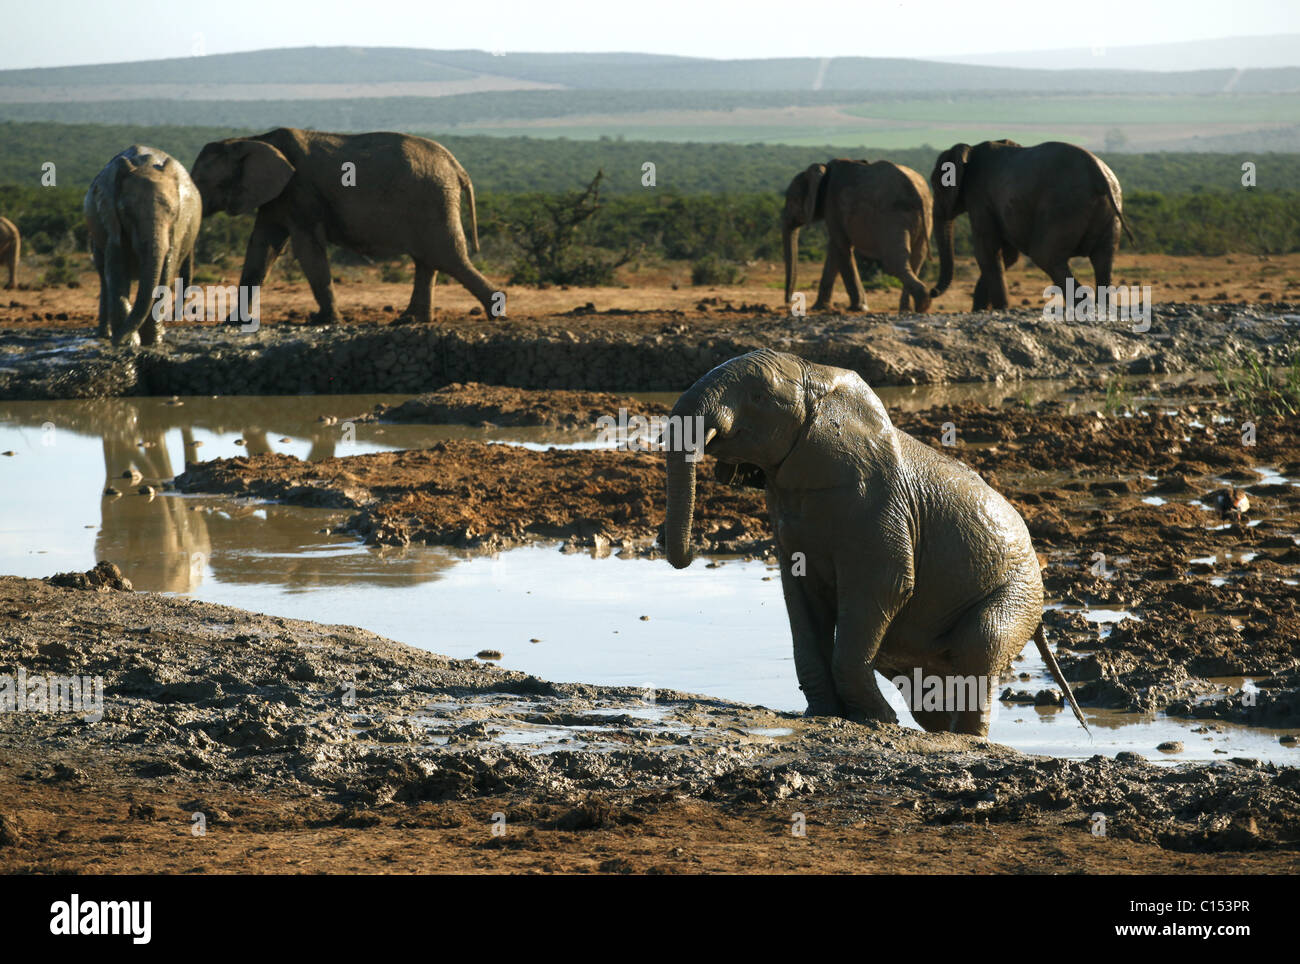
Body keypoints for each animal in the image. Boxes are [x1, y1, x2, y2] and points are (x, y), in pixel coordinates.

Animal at [84, 145, 200, 346]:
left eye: (173, 212)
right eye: (126, 212)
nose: (117, 340)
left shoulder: (176, 230)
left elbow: (166, 271)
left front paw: (152, 341)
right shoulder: (112, 220)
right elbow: (116, 270)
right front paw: (129, 342)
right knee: (104, 277)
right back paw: (105, 335)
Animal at [190, 127, 499, 325]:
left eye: (202, 182)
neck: (252, 140)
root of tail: (458, 167)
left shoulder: (300, 190)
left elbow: (307, 248)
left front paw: (324, 321)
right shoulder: (277, 197)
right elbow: (261, 247)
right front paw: (231, 324)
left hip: (432, 198)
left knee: (447, 257)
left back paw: (496, 309)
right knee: (428, 259)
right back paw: (408, 321)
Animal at [663, 349, 1086, 736]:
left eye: (759, 396)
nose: (673, 541)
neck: (820, 376)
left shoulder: (879, 503)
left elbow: (885, 583)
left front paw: (878, 719)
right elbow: (800, 597)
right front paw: (825, 714)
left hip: (1019, 593)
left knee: (980, 643)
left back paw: (963, 737)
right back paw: (940, 731)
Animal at [782, 159, 932, 314]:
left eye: (792, 200)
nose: (789, 301)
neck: (823, 169)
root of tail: (918, 194)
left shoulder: (833, 205)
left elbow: (841, 247)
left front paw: (858, 308)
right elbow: (835, 250)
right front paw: (820, 307)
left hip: (893, 215)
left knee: (894, 262)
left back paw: (920, 303)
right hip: (924, 216)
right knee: (916, 259)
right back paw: (912, 307)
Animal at [929, 139, 1134, 311]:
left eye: (936, 186)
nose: (932, 292)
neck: (970, 150)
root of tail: (1098, 171)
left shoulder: (979, 198)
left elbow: (986, 251)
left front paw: (998, 308)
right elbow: (1007, 255)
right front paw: (985, 309)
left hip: (1064, 207)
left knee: (1045, 256)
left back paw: (1084, 307)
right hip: (1108, 209)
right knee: (1103, 258)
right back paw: (1100, 307)